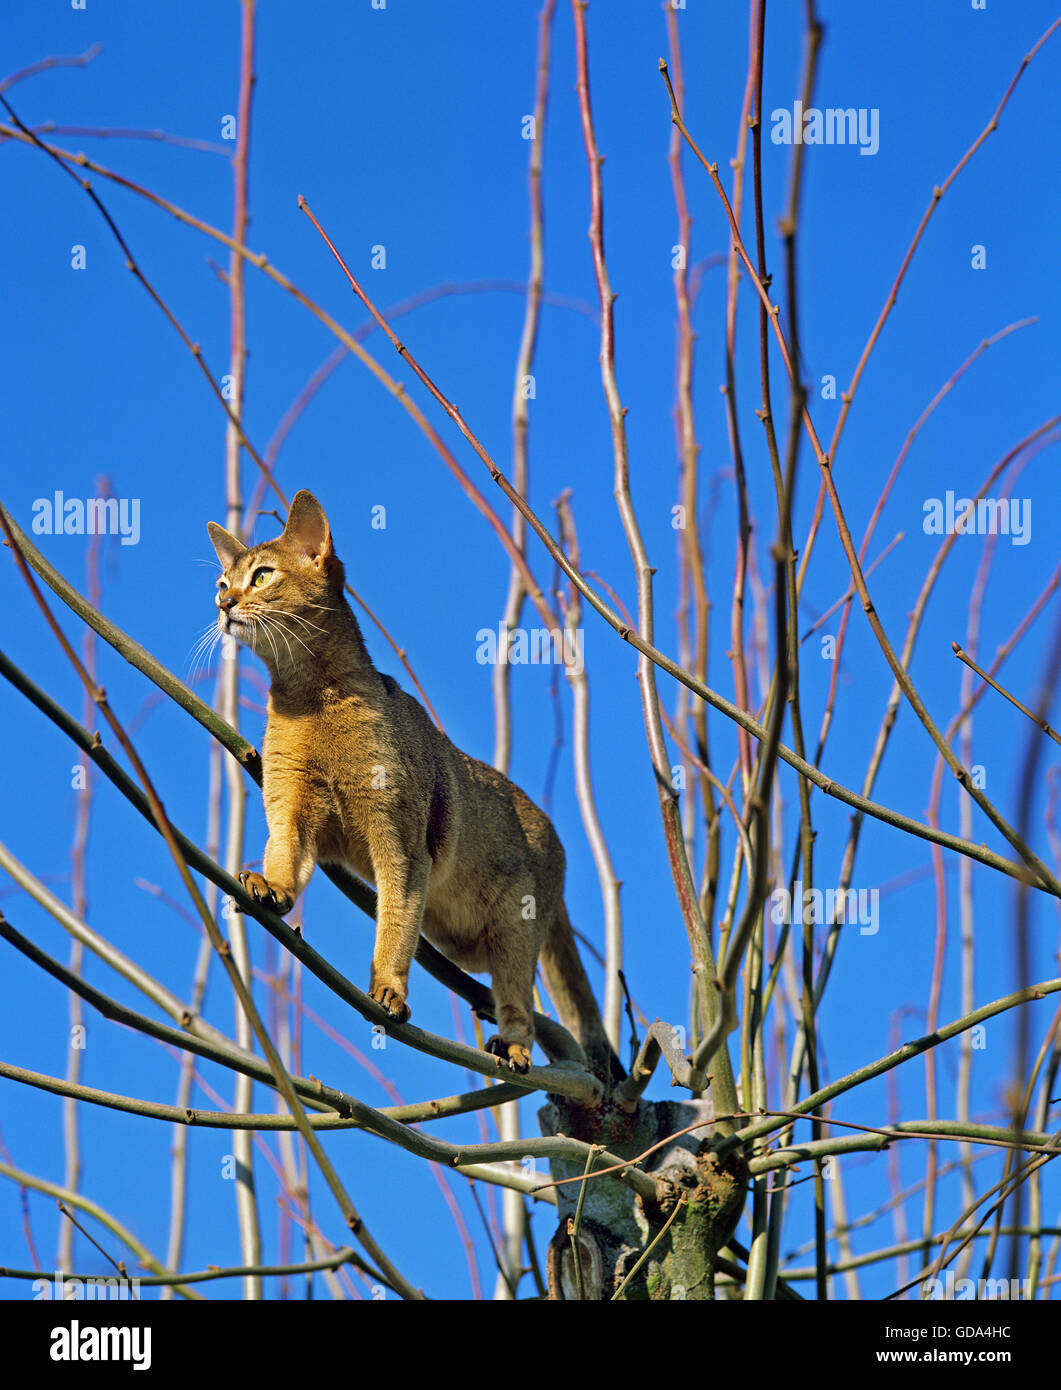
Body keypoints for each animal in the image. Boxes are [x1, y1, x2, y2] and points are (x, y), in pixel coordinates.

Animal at [205, 494, 614, 1078]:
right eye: (221, 581)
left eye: (261, 576)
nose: (223, 604)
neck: (309, 701)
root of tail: (554, 834)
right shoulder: (289, 805)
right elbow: (286, 855)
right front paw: (271, 887)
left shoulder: (400, 837)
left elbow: (395, 920)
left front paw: (388, 991)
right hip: (461, 936)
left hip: (516, 924)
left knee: (521, 996)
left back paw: (514, 1046)